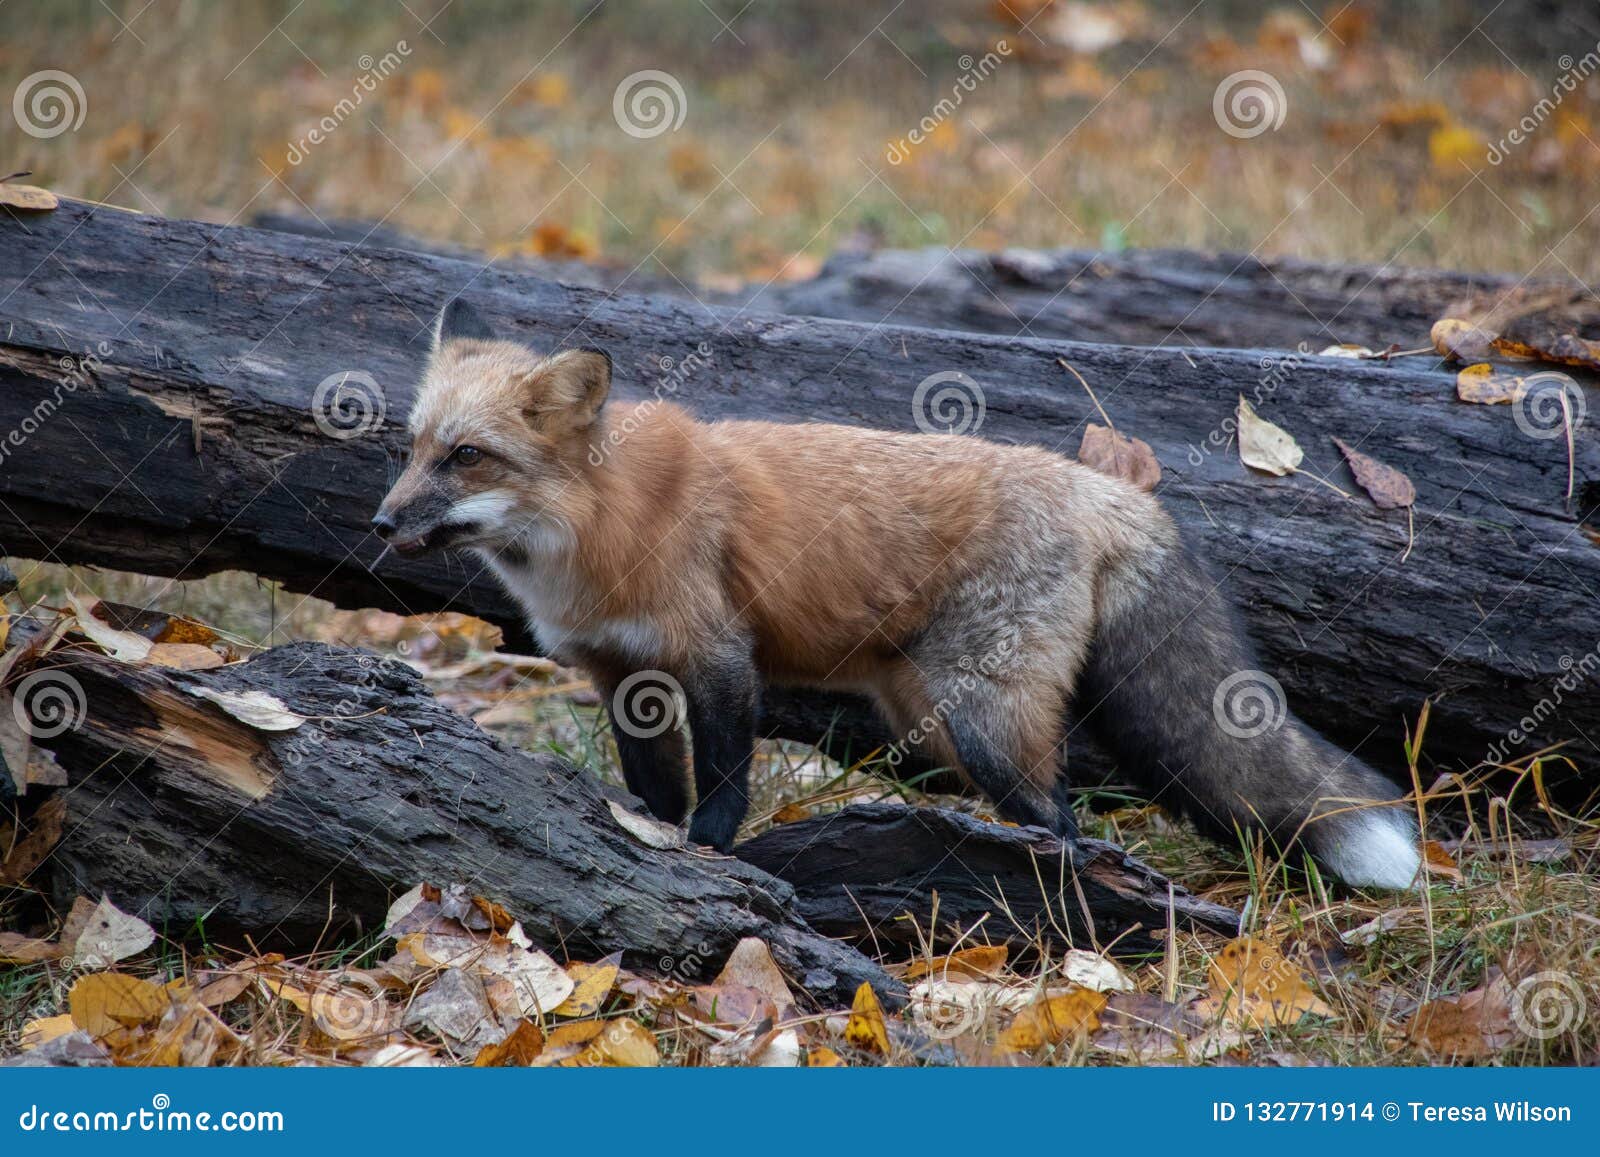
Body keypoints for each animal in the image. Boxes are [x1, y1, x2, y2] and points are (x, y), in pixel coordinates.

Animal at [371, 298, 1423, 889]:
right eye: (413, 448)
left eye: (467, 458)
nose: (381, 522)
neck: (602, 525)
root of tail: (1103, 486)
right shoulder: (619, 669)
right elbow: (652, 784)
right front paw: (649, 834)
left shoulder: (717, 655)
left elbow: (722, 778)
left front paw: (709, 848)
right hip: (937, 719)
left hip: (981, 718)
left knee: (1066, 818)